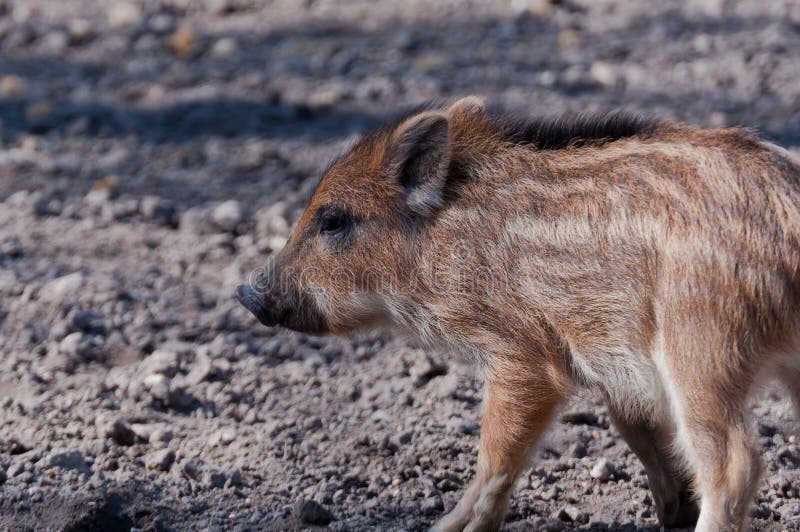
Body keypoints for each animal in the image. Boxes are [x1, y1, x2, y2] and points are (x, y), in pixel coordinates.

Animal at [236, 96, 800, 531]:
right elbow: (643, 438)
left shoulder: (523, 356)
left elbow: (495, 456)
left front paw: (446, 527)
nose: (248, 292)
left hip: (701, 348)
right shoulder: (621, 376)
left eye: (332, 220)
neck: (443, 243)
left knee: (736, 463)